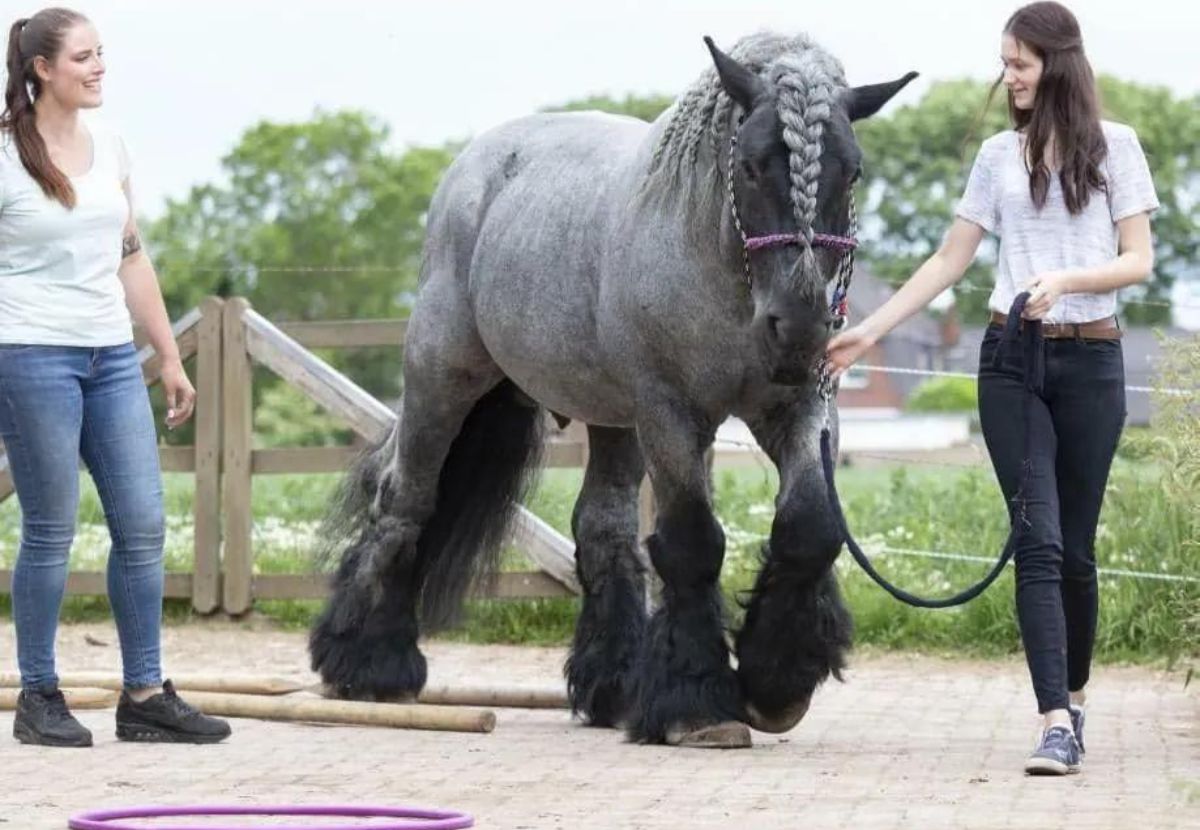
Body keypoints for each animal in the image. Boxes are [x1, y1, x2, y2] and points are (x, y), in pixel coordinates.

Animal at [309, 31, 916, 748]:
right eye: (750, 166)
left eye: (851, 171)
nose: (799, 326)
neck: (722, 269)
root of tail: (477, 168)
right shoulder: (670, 413)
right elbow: (692, 541)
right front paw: (696, 703)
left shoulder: (797, 406)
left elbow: (813, 524)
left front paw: (776, 681)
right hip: (444, 375)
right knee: (405, 499)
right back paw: (370, 663)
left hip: (610, 417)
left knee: (603, 527)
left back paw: (616, 686)